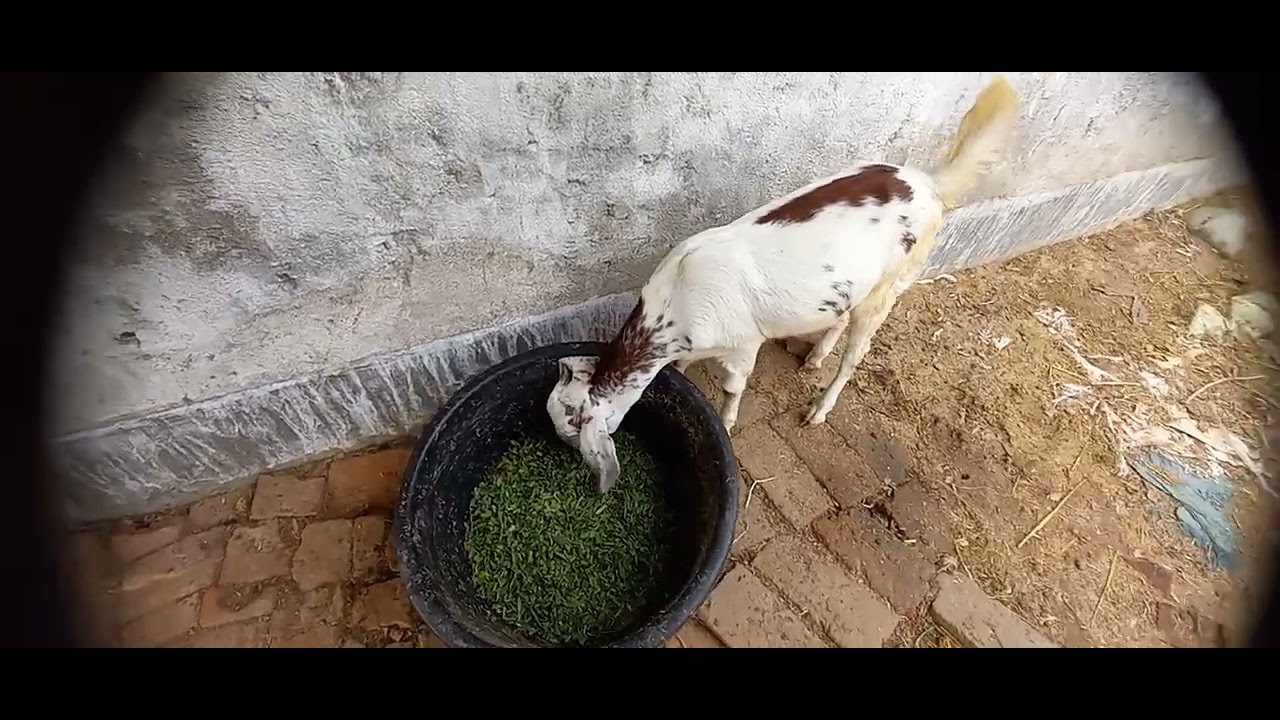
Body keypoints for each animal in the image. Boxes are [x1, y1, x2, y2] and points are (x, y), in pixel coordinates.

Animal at [548, 75, 1020, 493]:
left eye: (572, 433)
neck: (674, 306)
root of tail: (929, 184)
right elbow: (683, 369)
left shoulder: (742, 343)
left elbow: (733, 387)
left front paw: (728, 423)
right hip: (856, 282)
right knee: (840, 314)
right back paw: (816, 356)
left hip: (891, 284)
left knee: (857, 352)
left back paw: (819, 409)